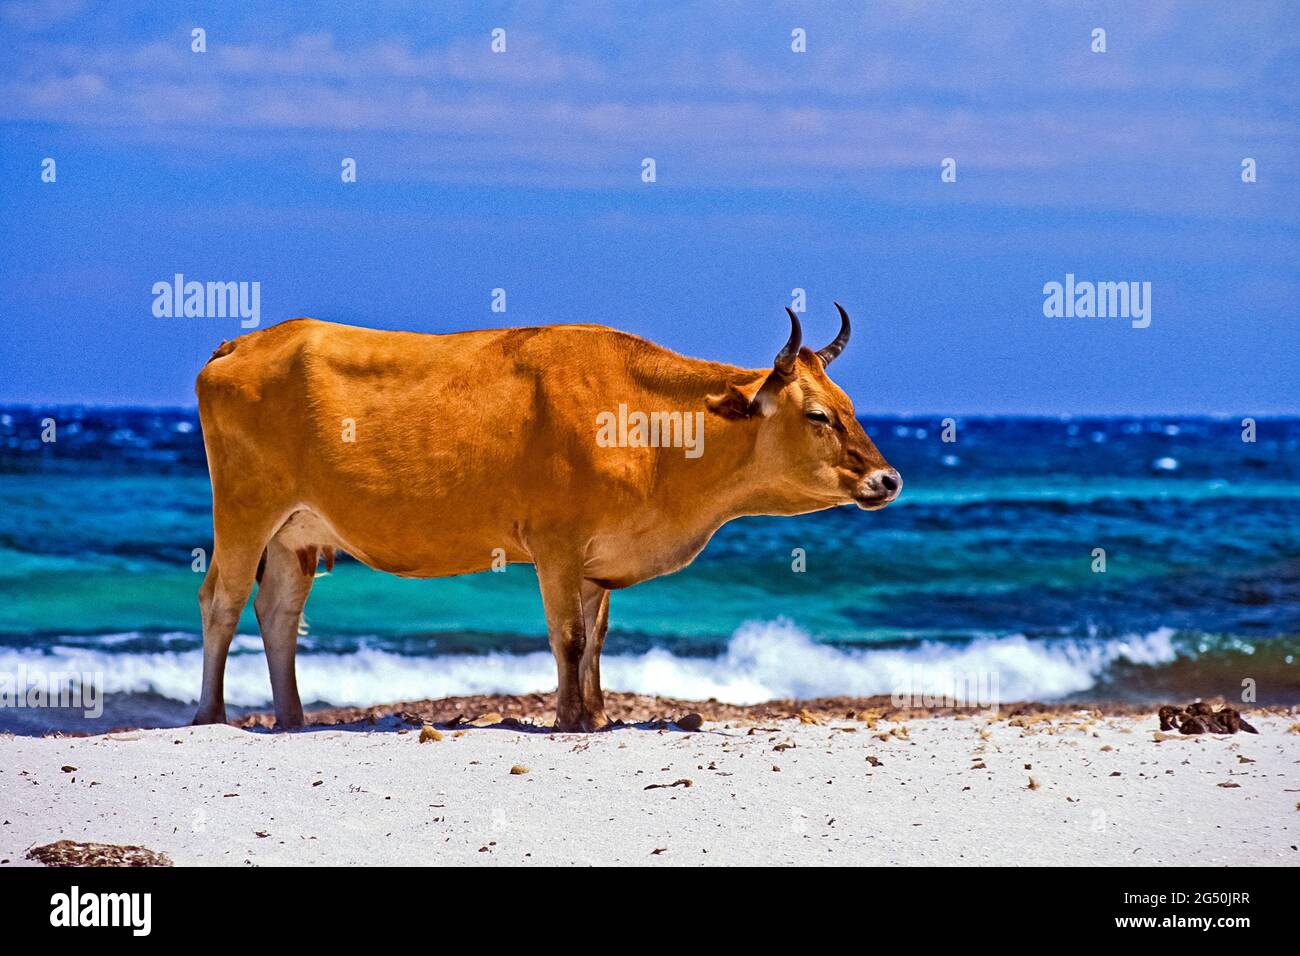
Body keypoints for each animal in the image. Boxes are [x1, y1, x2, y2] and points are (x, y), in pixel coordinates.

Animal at [192, 305, 901, 731]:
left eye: (850, 404)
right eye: (818, 415)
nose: (888, 478)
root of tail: (243, 341)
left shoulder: (597, 558)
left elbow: (598, 638)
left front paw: (596, 715)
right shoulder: (556, 544)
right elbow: (570, 637)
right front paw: (567, 720)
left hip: (297, 532)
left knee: (279, 613)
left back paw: (291, 719)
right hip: (245, 509)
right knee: (222, 601)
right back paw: (210, 715)